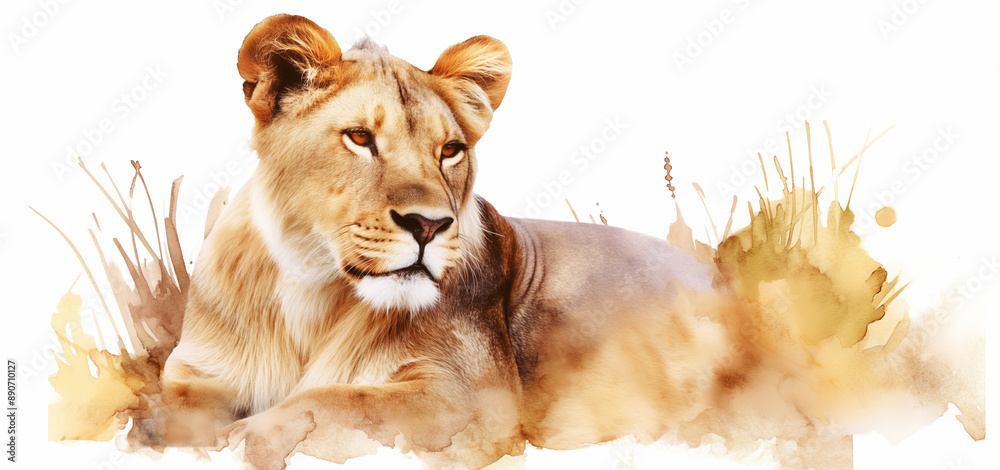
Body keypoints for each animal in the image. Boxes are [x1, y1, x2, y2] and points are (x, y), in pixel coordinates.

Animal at [131, 14, 744, 469]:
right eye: (360, 138)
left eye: (450, 150)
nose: (428, 225)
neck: (309, 289)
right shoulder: (199, 373)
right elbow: (188, 407)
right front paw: (163, 431)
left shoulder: (477, 399)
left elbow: (335, 401)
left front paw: (244, 439)